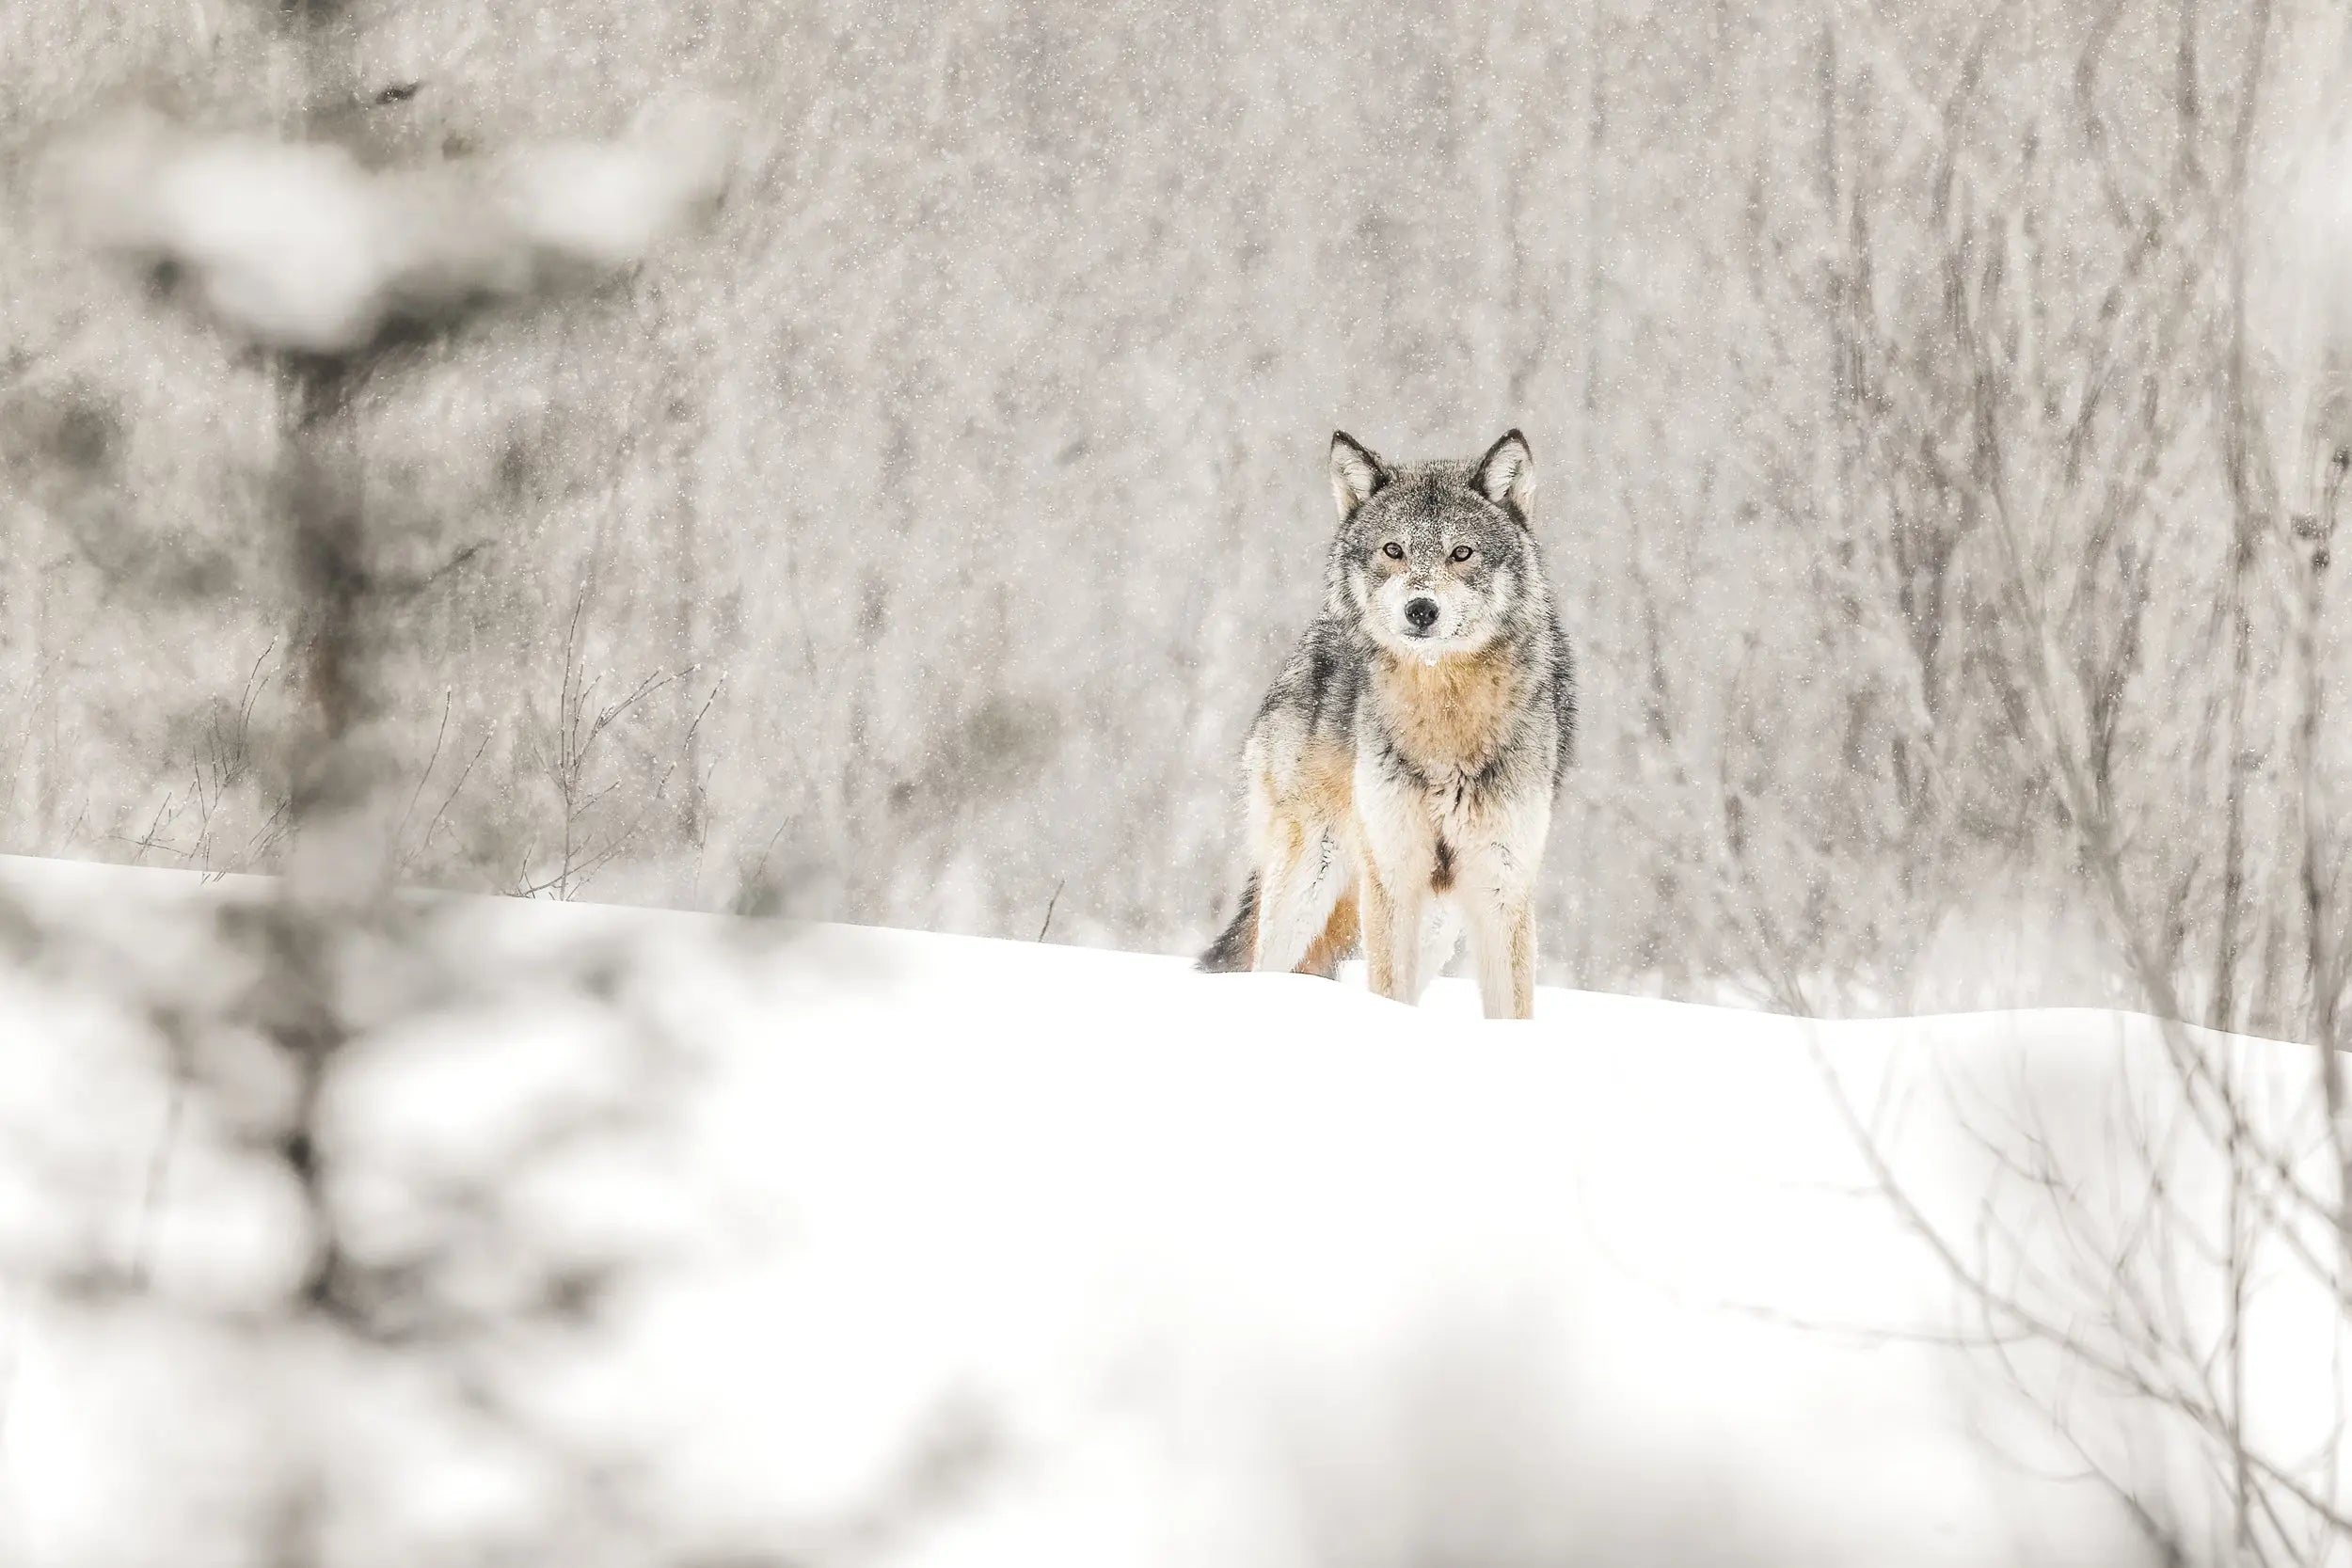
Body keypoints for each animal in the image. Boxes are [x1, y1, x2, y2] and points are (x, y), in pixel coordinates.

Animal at [1197, 429, 1575, 1020]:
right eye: (1393, 550)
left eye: (1461, 553)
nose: (1421, 609)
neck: (1445, 717)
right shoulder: (1393, 876)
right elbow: (1386, 987)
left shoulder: (1501, 885)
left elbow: (1510, 1006)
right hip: (1310, 878)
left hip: (1437, 920)